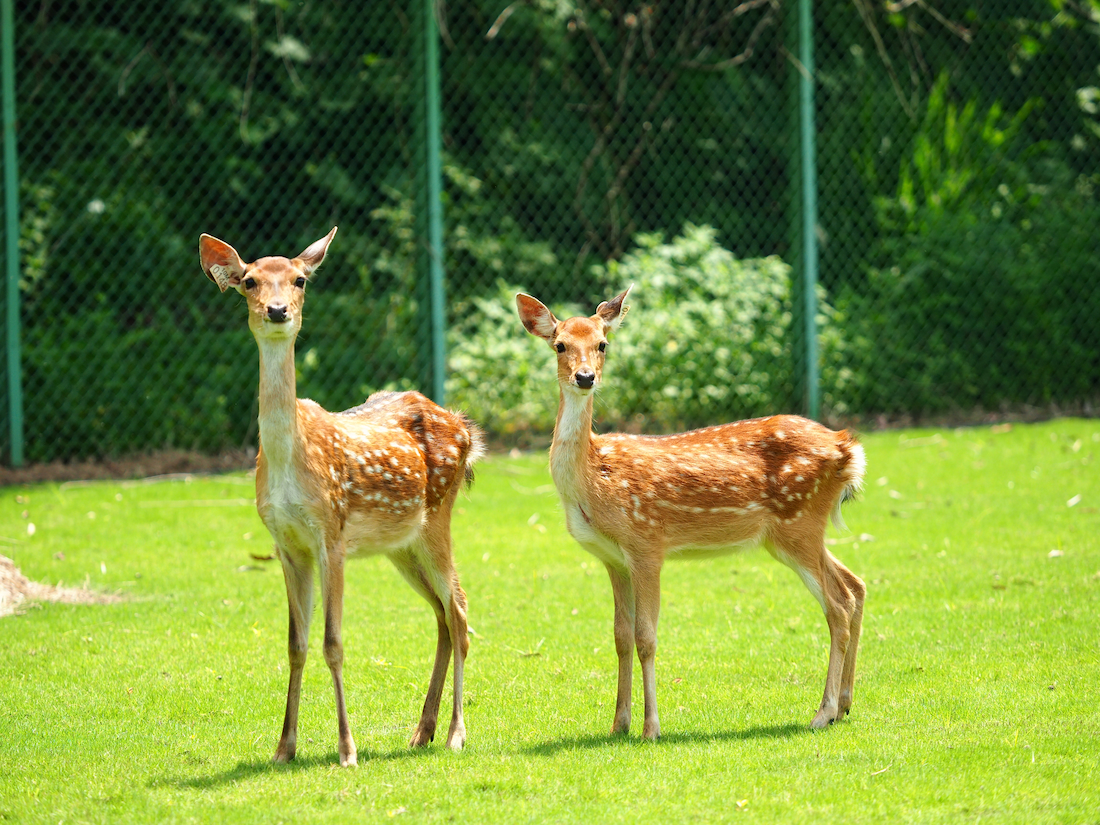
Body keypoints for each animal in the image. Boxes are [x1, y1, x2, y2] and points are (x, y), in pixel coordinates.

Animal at [198, 227, 484, 767]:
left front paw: (347, 750)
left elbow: (332, 642)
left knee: (459, 610)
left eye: (299, 279)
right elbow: (296, 644)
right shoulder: (287, 544)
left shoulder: (330, 535)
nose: (277, 311)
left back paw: (456, 734)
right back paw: (422, 731)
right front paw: (283, 747)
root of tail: (465, 427)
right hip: (401, 545)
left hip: (438, 517)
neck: (290, 462)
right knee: (440, 613)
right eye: (249, 281)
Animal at [516, 286, 866, 740]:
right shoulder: (613, 559)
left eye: (602, 344)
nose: (585, 377)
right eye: (559, 345)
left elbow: (646, 637)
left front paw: (650, 728)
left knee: (838, 604)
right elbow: (620, 636)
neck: (594, 479)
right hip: (795, 532)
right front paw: (618, 725)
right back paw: (844, 705)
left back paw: (822, 713)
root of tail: (847, 449)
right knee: (855, 585)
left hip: (799, 523)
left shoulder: (647, 543)